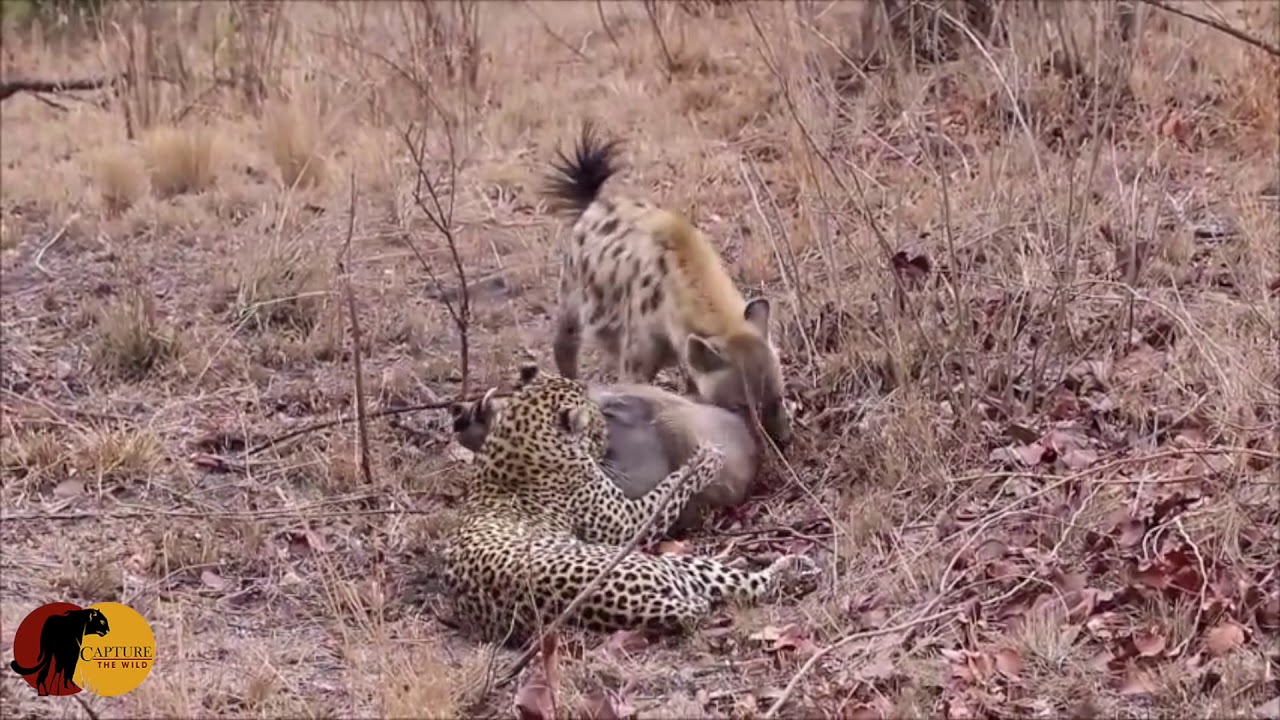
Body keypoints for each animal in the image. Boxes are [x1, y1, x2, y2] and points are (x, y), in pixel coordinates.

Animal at [542, 121, 792, 449]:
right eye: (741, 405)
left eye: (778, 398)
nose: (782, 441)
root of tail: (594, 203)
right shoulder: (636, 361)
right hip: (572, 292)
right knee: (566, 342)